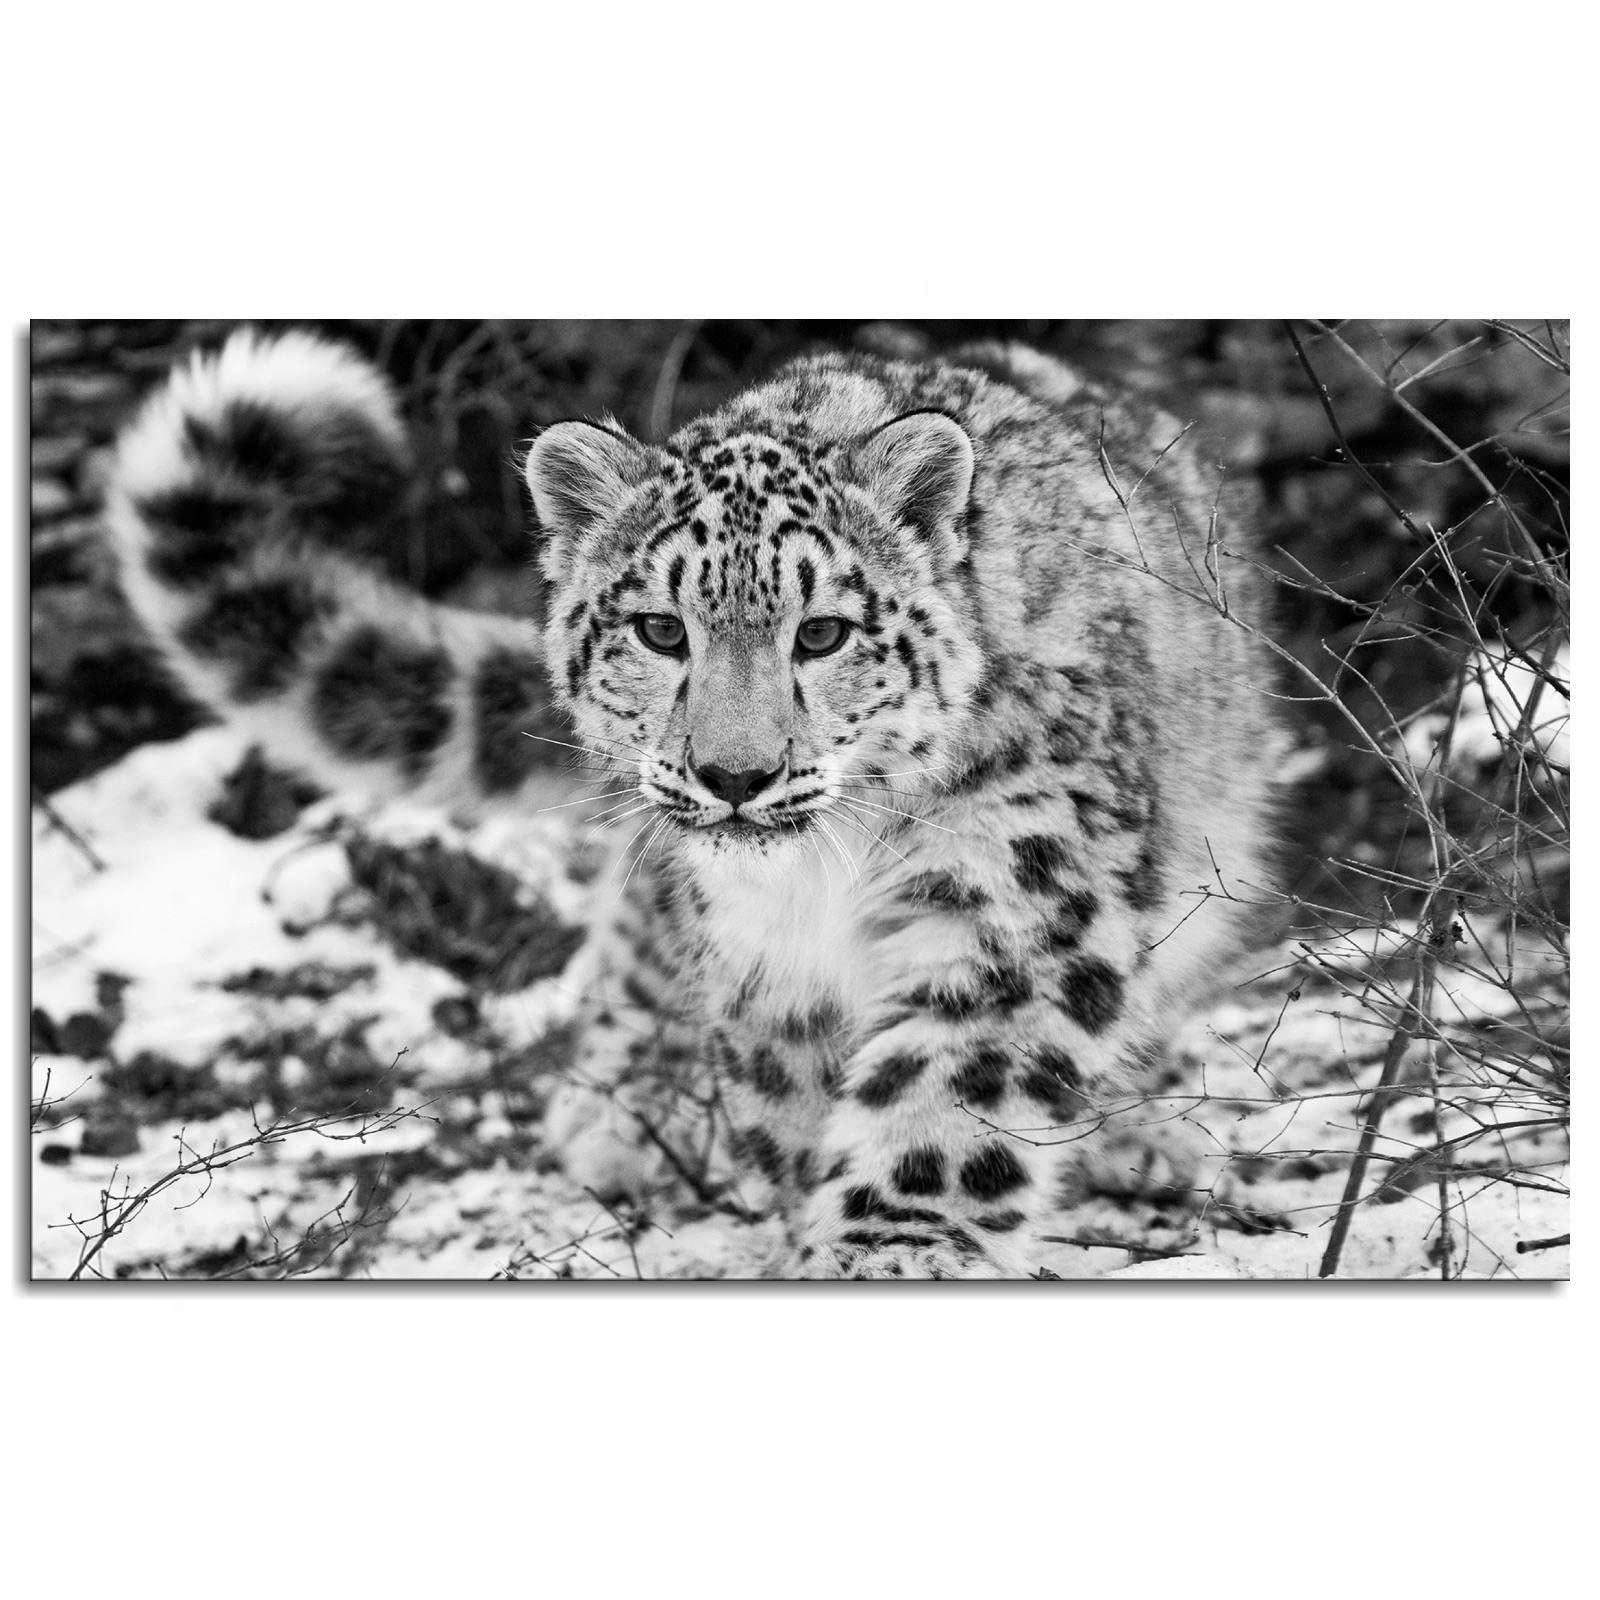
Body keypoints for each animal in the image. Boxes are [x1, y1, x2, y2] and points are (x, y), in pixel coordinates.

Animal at [103, 326, 1280, 1279]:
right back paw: (624, 1111)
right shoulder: (764, 963)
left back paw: (1138, 1135)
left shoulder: (1009, 893)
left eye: (823, 633)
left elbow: (950, 1089)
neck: (825, 879)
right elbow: (796, 1099)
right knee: (633, 940)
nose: (734, 775)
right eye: (661, 629)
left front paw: (889, 1252)